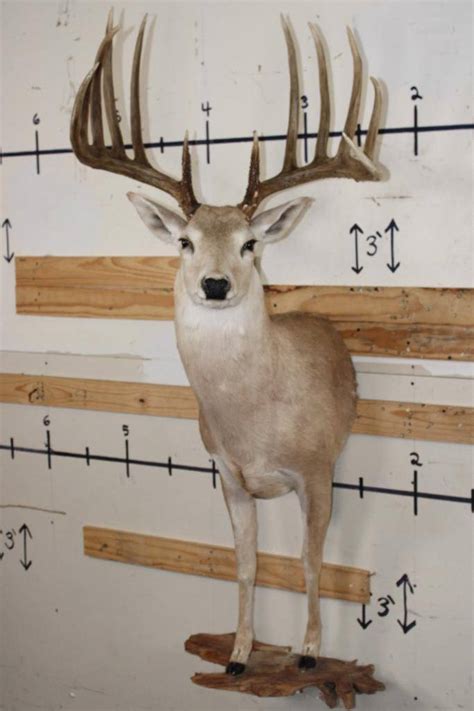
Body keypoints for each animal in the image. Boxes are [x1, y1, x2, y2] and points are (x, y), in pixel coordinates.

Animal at [71, 11, 384, 675]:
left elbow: (311, 560)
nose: (215, 283)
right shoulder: (228, 475)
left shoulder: (317, 469)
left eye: (249, 243)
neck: (254, 422)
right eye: (185, 241)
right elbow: (246, 564)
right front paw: (239, 653)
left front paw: (308, 652)